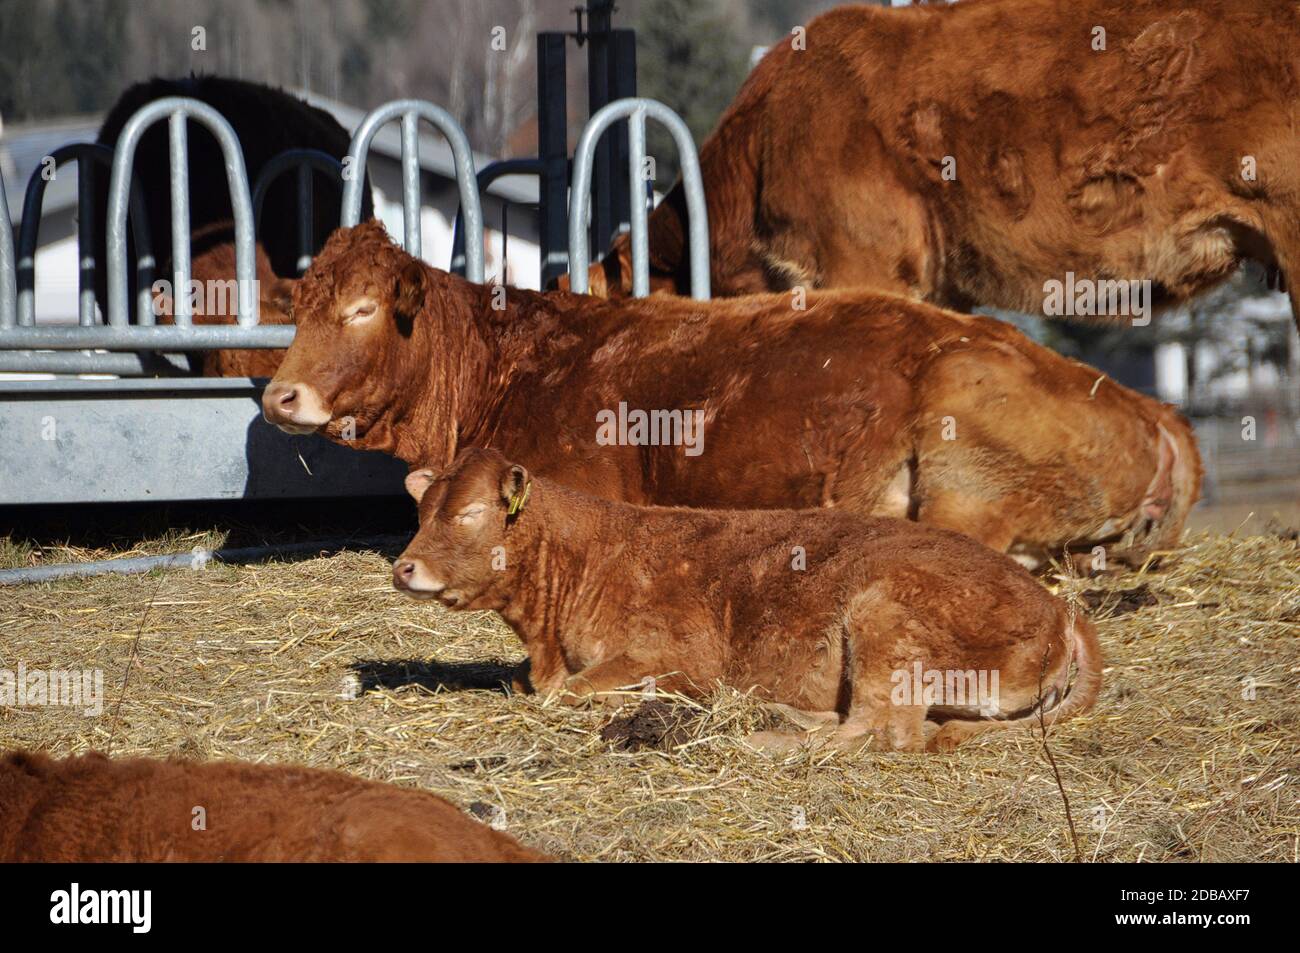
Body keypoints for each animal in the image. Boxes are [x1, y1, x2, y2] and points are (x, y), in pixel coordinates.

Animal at [391, 448, 1103, 753]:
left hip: (885, 615)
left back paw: (763, 737)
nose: (404, 567)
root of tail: (1060, 610)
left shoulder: (673, 653)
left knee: (885, 730)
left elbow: (565, 693)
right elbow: (531, 686)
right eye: (422, 511)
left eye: (471, 513)